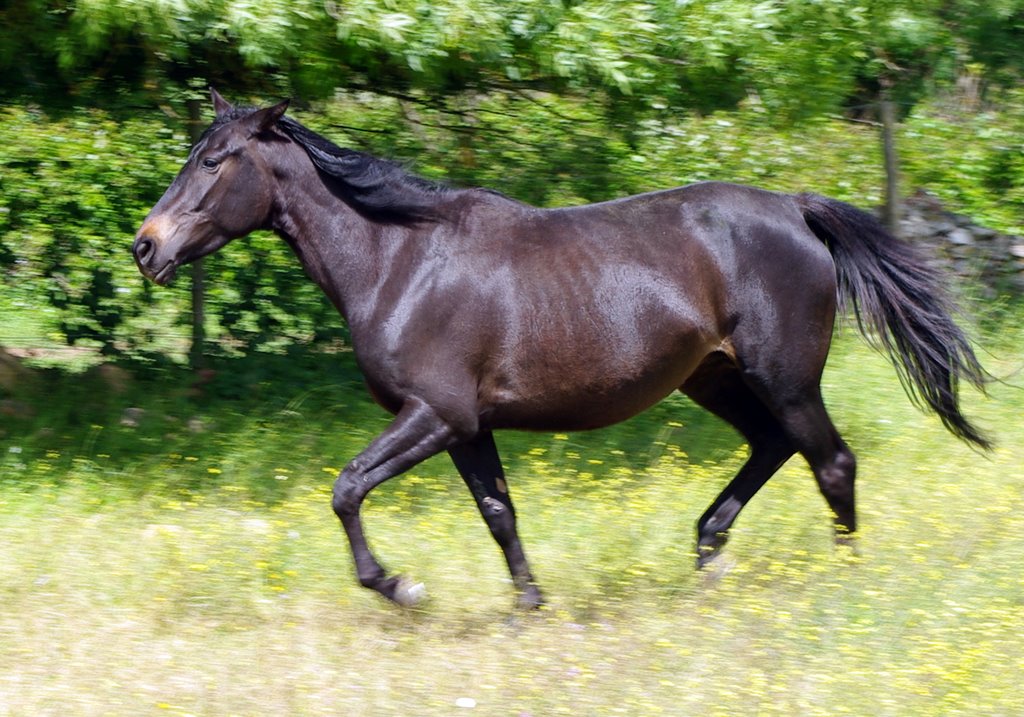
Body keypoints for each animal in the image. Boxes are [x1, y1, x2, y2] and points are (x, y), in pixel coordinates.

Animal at [133, 90, 989, 609]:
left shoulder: (434, 413)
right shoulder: (467, 426)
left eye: (214, 161)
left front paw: (401, 587)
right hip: (714, 379)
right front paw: (528, 605)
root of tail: (795, 207)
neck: (398, 258)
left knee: (831, 461)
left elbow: (346, 488)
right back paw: (707, 550)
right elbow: (498, 512)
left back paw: (843, 580)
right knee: (774, 447)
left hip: (784, 377)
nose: (147, 247)